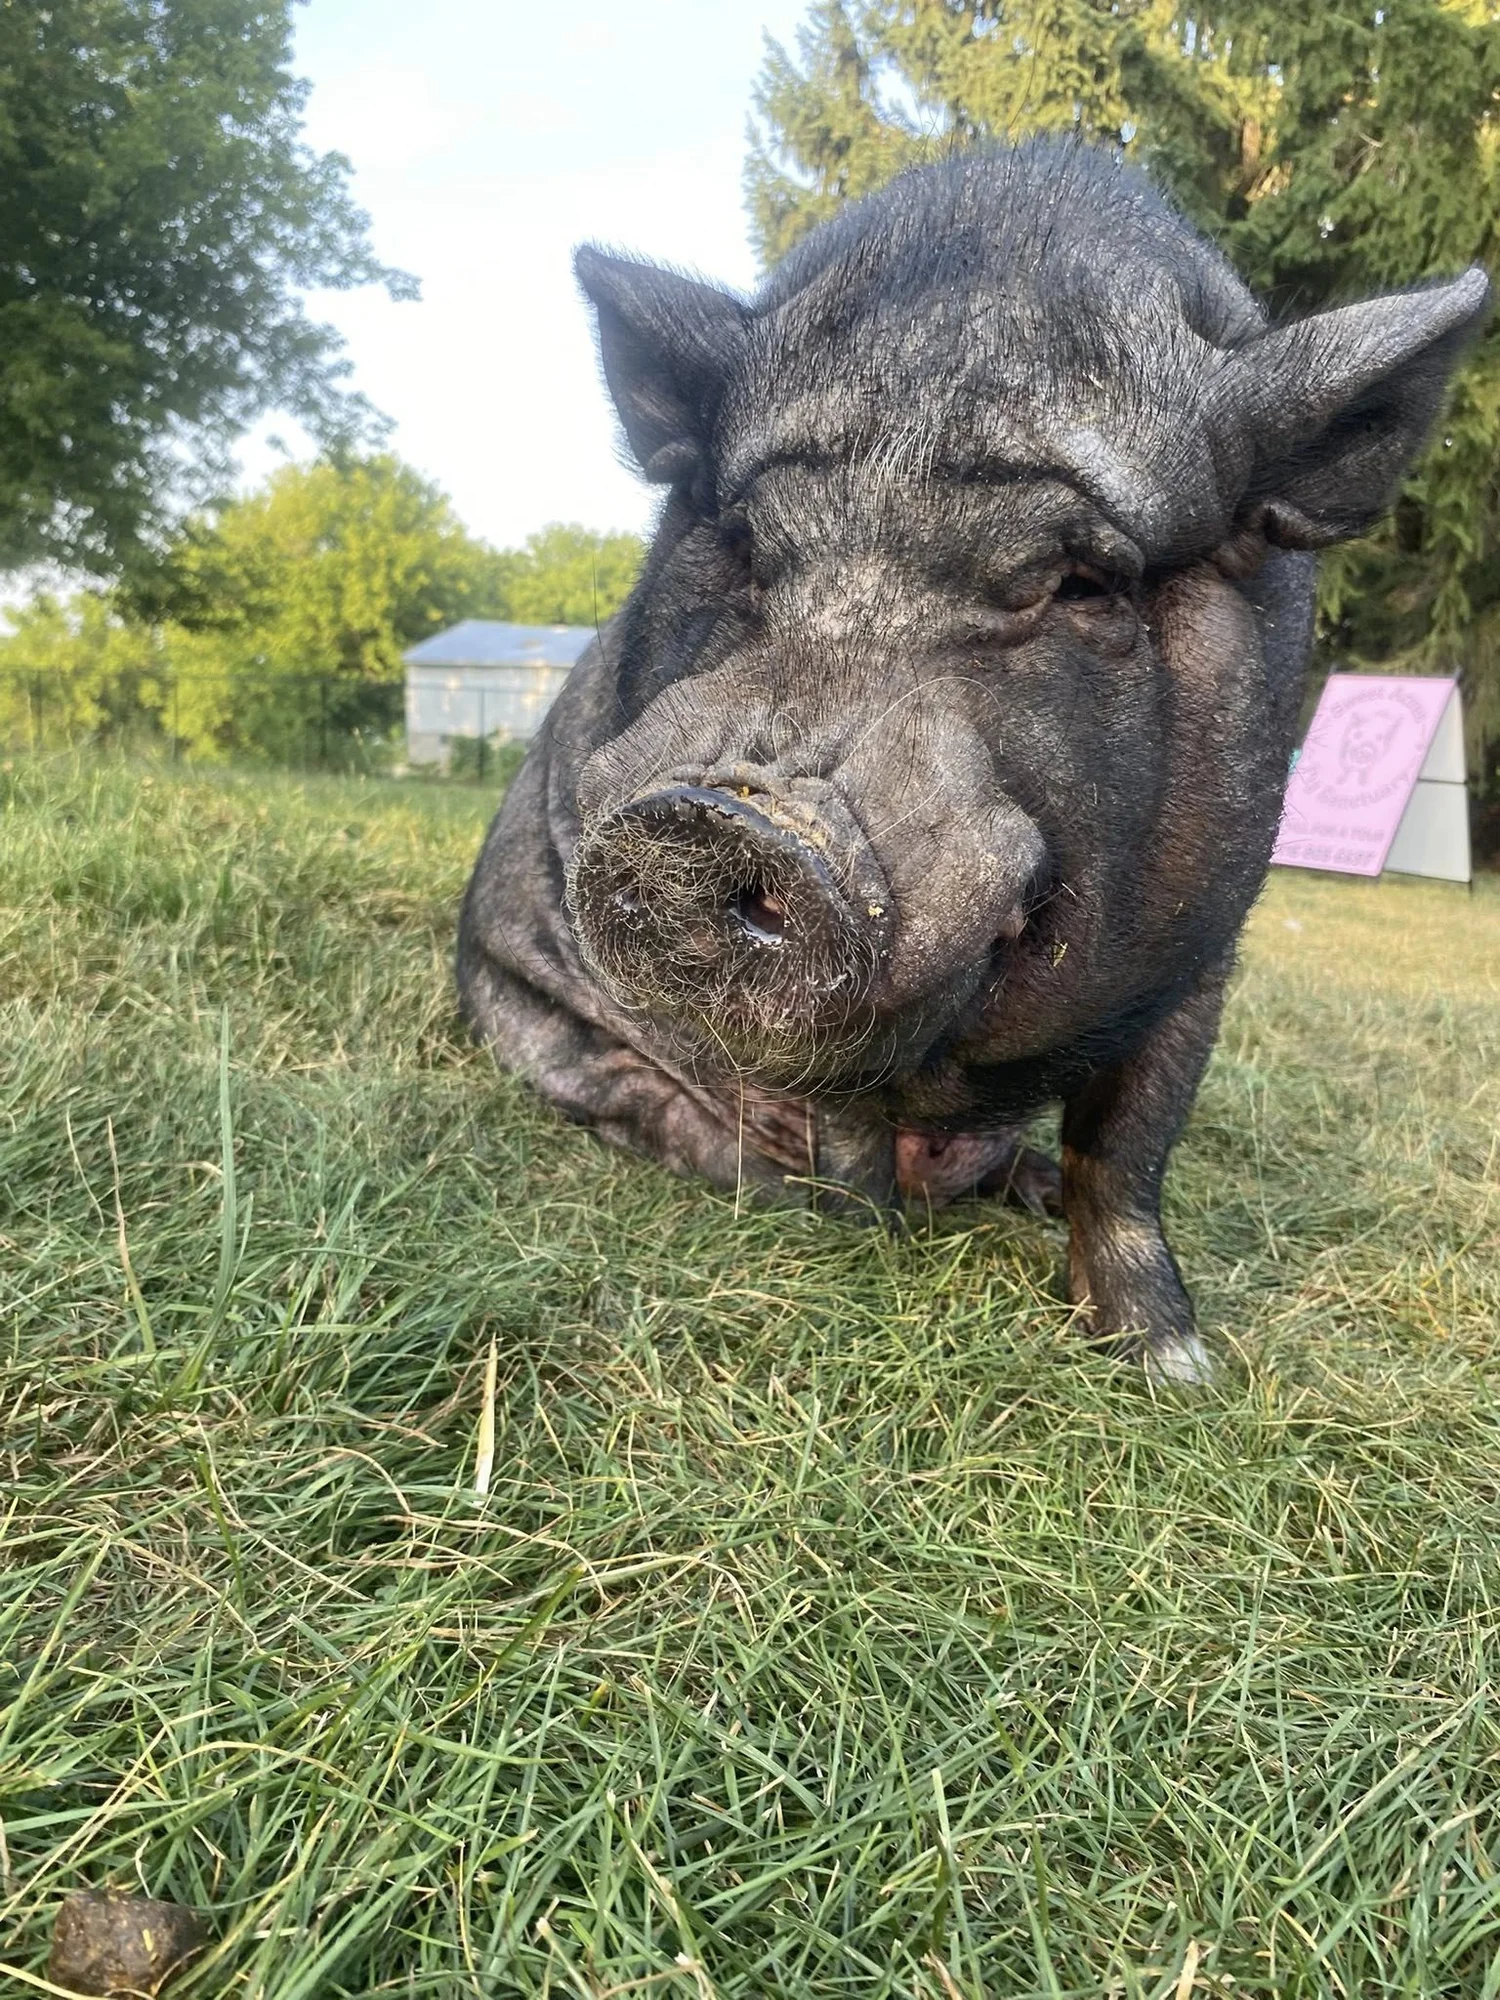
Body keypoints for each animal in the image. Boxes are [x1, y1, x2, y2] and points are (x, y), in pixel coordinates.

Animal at [458, 140, 1487, 1384]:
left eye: (1083, 582)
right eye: (747, 546)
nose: (726, 811)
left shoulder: (1205, 952)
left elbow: (1128, 1147)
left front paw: (1174, 1365)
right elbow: (849, 1122)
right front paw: (868, 1240)